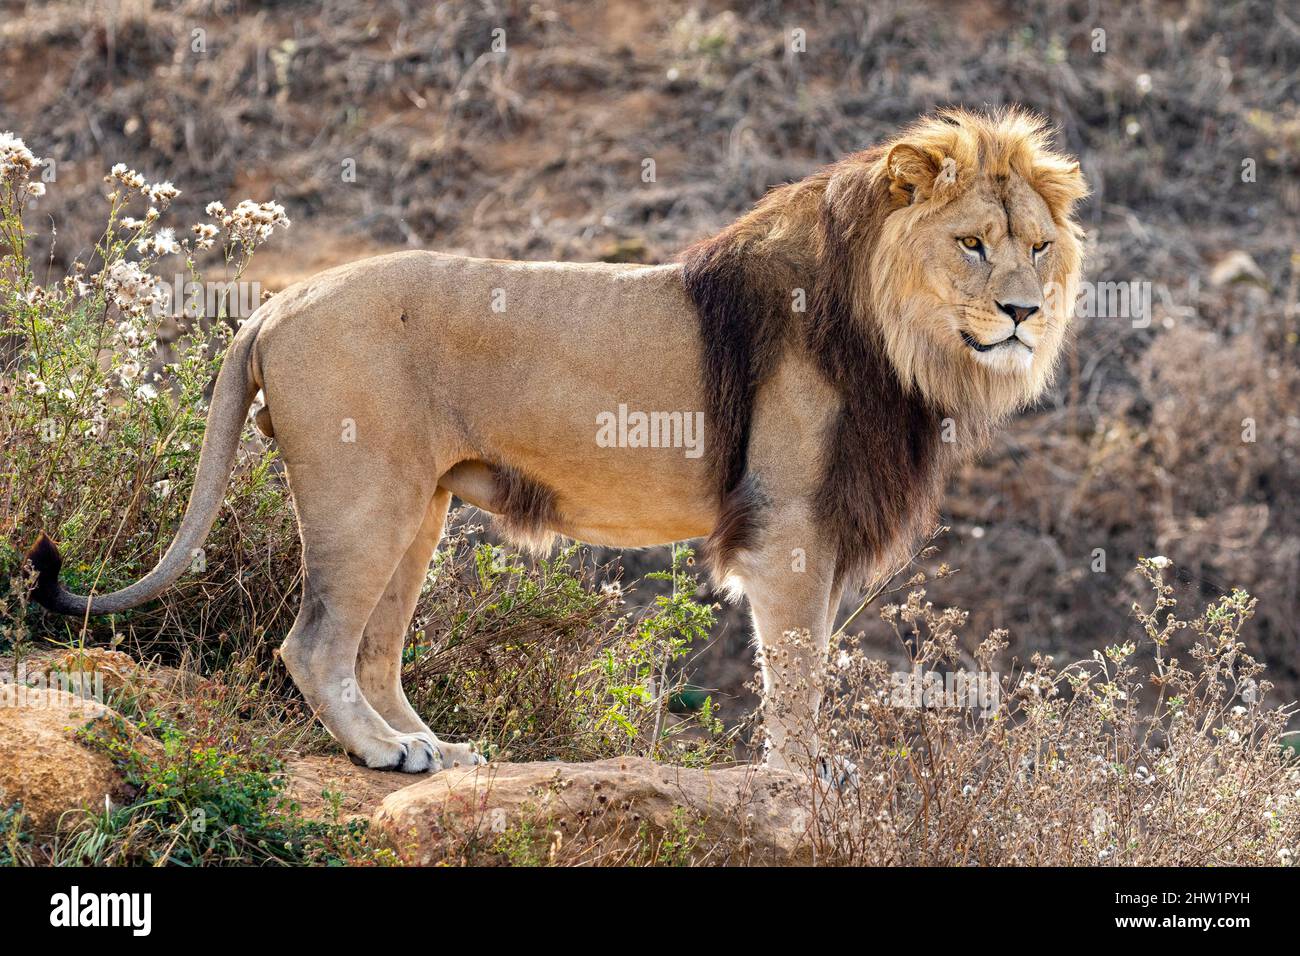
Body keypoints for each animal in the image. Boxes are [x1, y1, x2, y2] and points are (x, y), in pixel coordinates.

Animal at [28, 108, 1086, 775]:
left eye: (1037, 246)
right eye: (972, 243)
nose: (1025, 314)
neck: (903, 339)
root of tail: (276, 302)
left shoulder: (820, 526)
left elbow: (809, 667)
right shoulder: (788, 523)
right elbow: (798, 673)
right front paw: (801, 780)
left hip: (421, 507)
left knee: (375, 653)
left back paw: (440, 751)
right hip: (364, 499)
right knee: (315, 644)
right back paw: (384, 753)